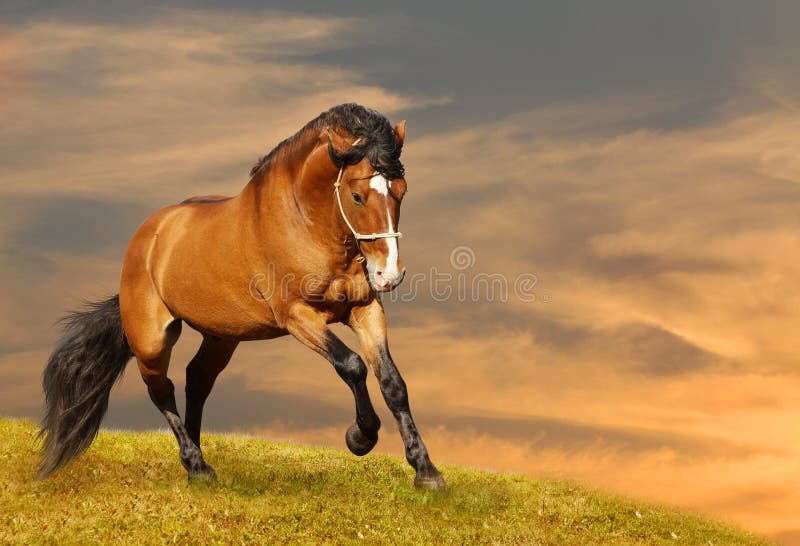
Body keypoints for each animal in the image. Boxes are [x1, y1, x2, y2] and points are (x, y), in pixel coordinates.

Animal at [37, 103, 446, 491]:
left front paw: (426, 472)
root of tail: (148, 236)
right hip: (151, 340)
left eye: (402, 191)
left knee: (197, 380)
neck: (306, 224)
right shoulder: (298, 316)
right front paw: (360, 437)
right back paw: (197, 466)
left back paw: (196, 463)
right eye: (358, 196)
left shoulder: (364, 310)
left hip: (221, 336)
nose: (389, 274)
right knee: (161, 390)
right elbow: (352, 365)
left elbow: (393, 383)